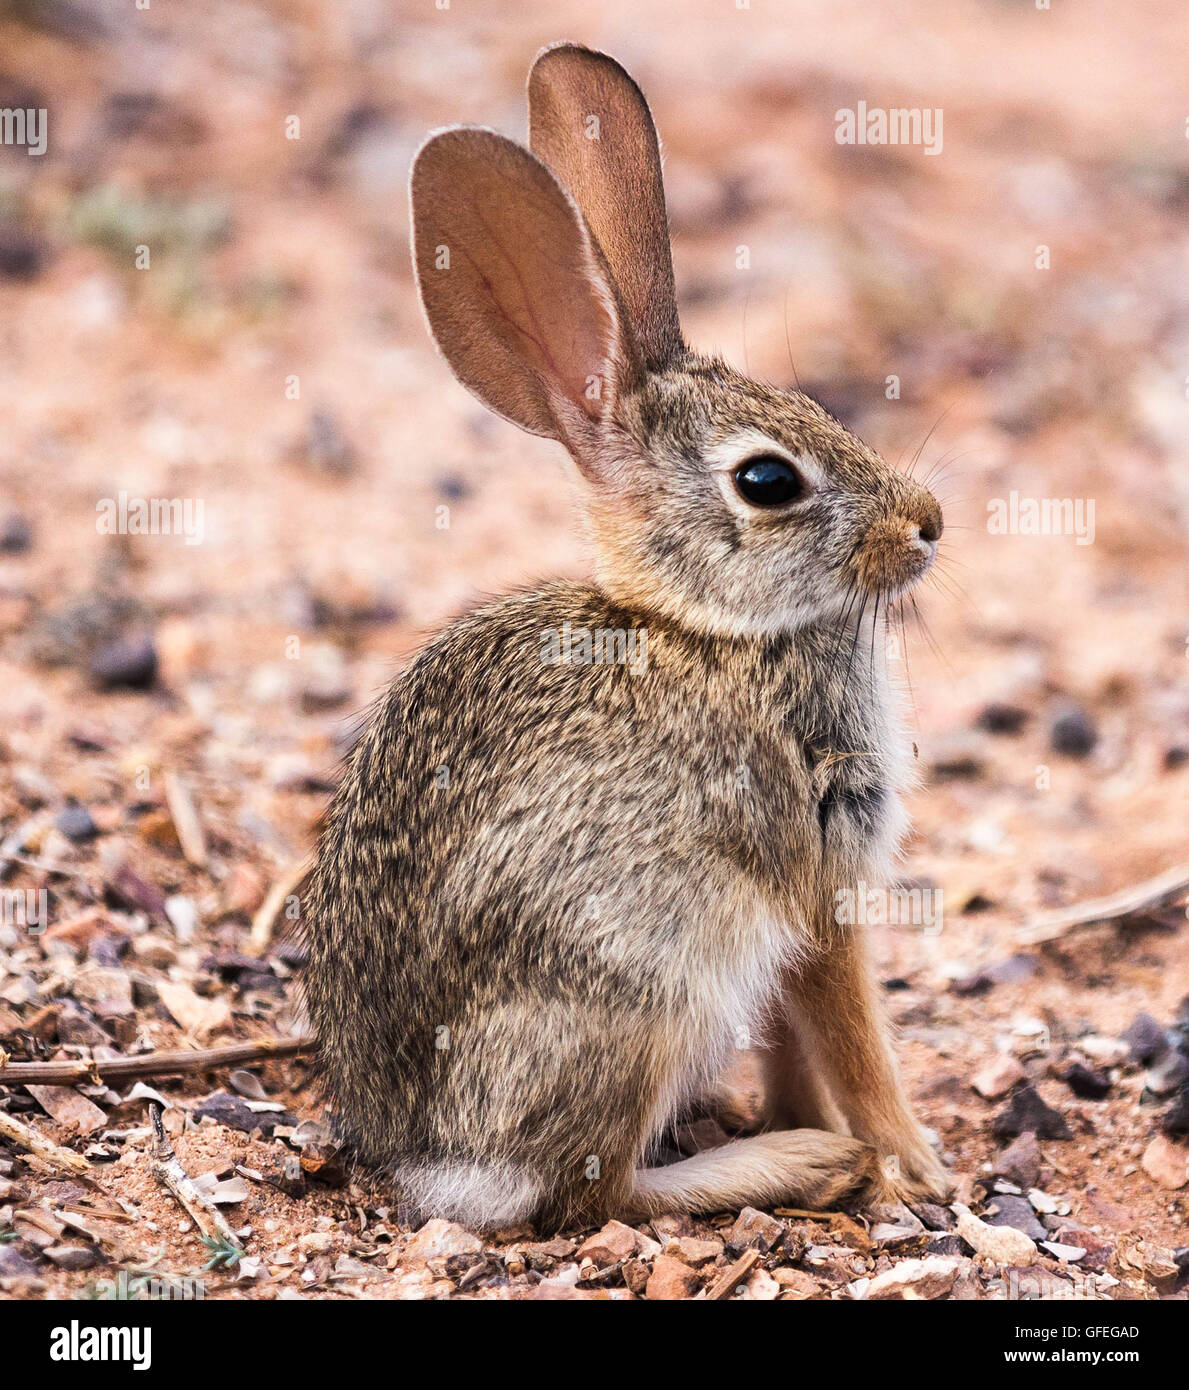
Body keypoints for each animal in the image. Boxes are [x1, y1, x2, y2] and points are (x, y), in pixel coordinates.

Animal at [302, 41, 951, 1234]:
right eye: (768, 481)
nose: (925, 523)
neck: (714, 629)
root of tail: (431, 1164)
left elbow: (791, 1030)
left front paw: (806, 1113)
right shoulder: (812, 867)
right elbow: (847, 1023)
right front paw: (910, 1160)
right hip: (639, 992)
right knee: (591, 1193)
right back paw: (792, 1163)